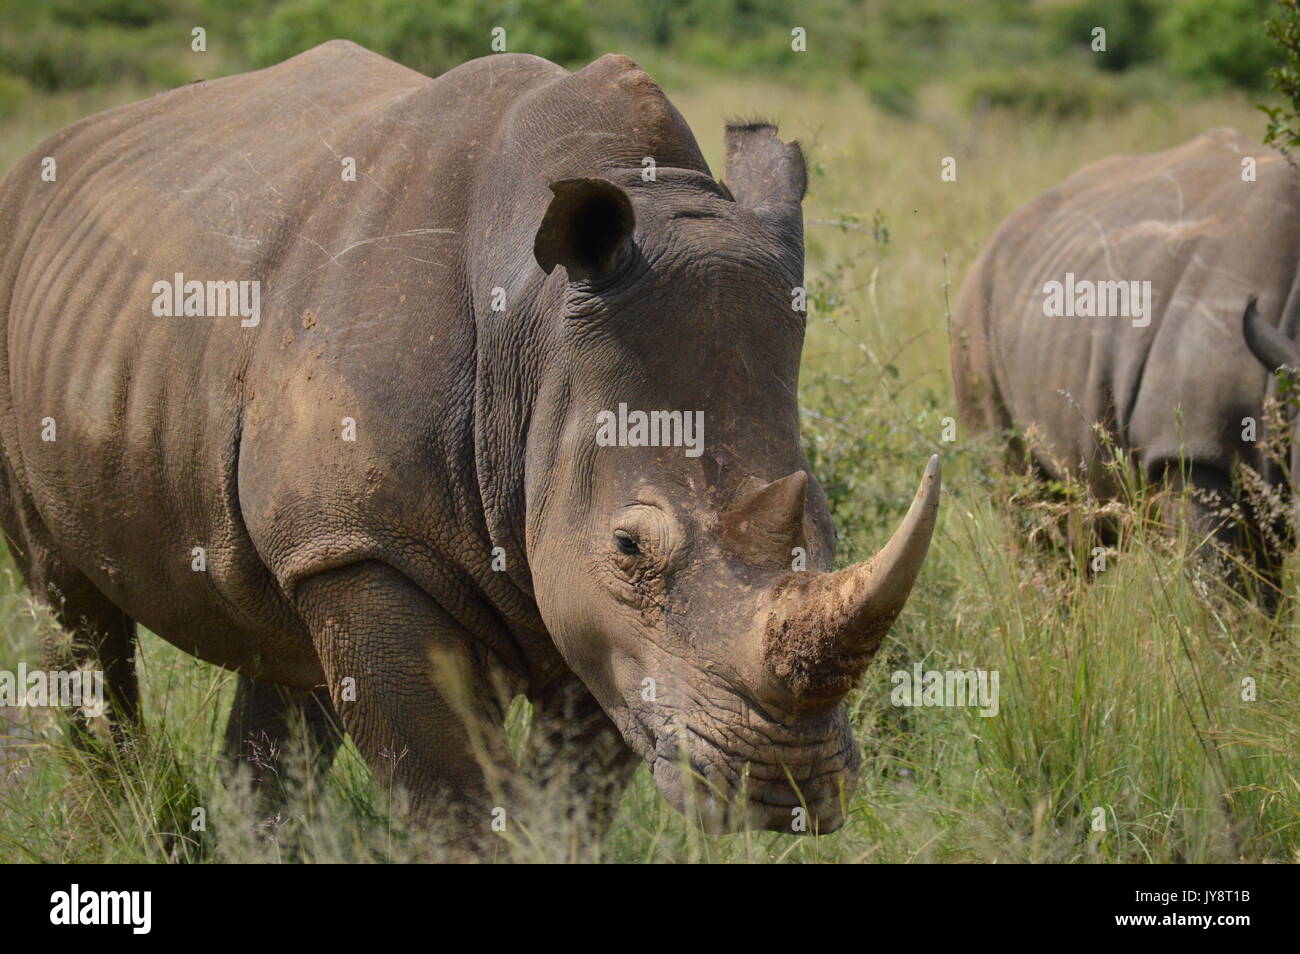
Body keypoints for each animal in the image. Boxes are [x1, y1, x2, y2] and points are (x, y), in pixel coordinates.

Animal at [0, 41, 940, 847]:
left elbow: (571, 804)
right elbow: (455, 800)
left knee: (284, 641)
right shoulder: (375, 545)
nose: (785, 788)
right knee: (67, 603)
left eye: (826, 528)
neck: (534, 330)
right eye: (629, 546)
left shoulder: (601, 618)